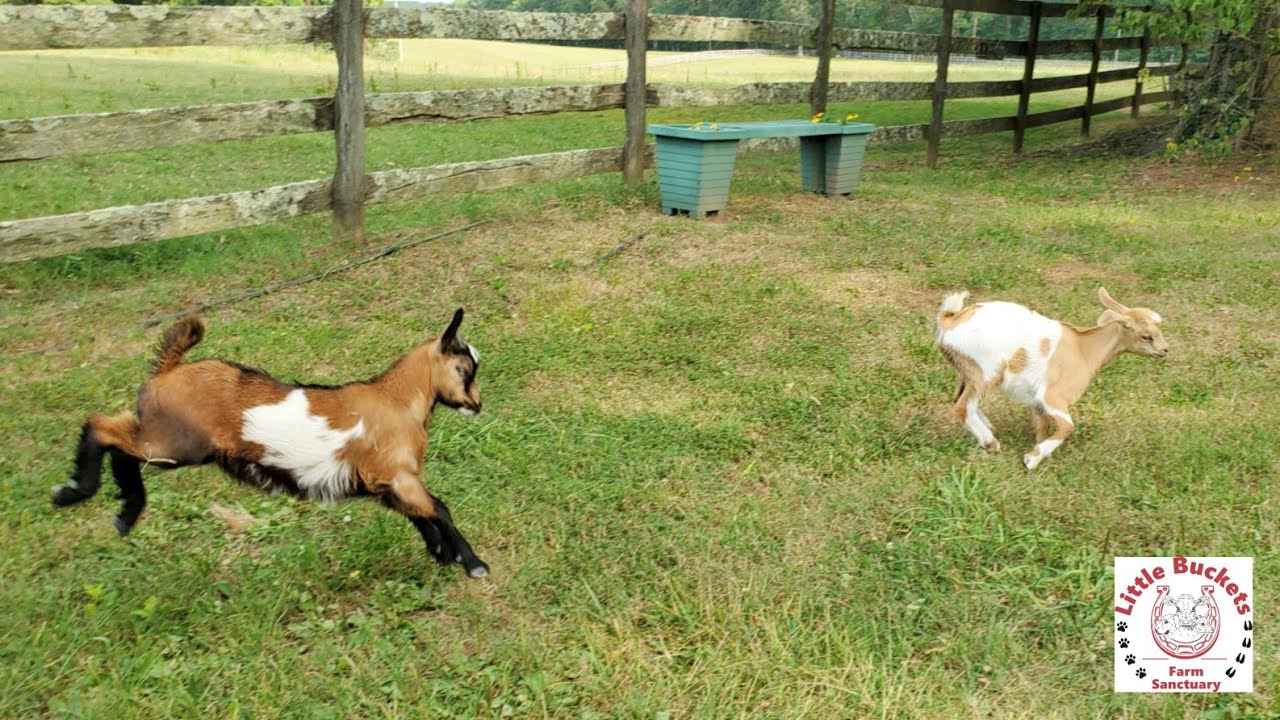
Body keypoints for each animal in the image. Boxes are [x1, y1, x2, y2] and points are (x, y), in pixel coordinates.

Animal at [51, 309, 490, 578]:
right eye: (465, 369)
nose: (477, 404)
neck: (396, 399)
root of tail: (169, 369)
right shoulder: (399, 475)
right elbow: (440, 509)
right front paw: (473, 563)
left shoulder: (385, 482)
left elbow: (421, 515)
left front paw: (442, 553)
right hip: (175, 441)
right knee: (102, 427)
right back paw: (74, 492)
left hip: (164, 440)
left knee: (122, 447)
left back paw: (125, 513)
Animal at [936, 287, 1168, 469]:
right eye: (1146, 336)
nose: (1165, 350)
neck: (1083, 350)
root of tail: (949, 322)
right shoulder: (1053, 396)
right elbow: (1067, 427)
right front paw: (1031, 459)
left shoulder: (1037, 401)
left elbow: (1042, 427)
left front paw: (1040, 454)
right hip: (987, 372)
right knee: (963, 406)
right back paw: (990, 442)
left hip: (967, 372)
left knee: (959, 399)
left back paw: (987, 428)